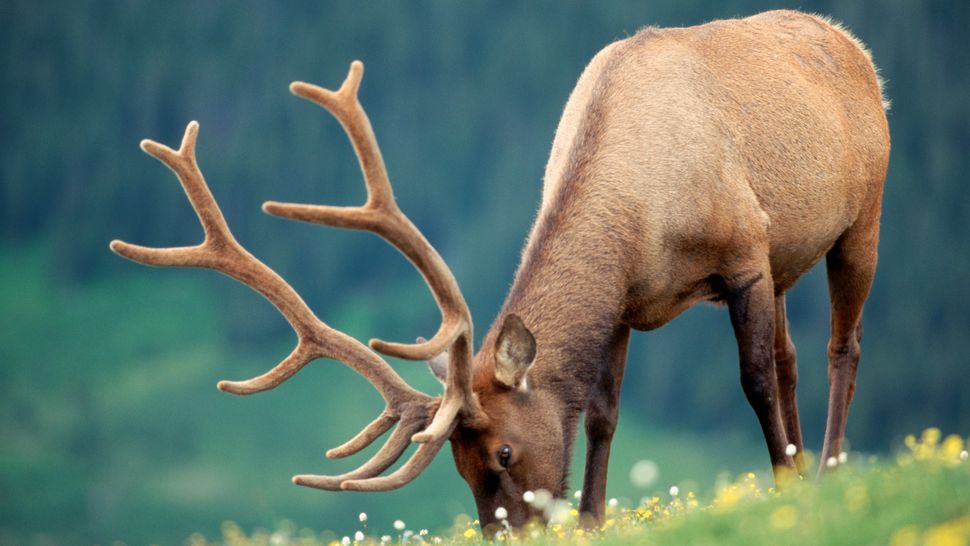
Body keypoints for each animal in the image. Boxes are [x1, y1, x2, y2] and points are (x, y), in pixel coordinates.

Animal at [111, 9, 889, 533]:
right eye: (458, 464)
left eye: (505, 453)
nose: (507, 534)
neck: (643, 217)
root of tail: (852, 42)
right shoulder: (627, 302)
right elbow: (601, 414)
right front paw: (593, 521)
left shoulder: (744, 253)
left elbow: (750, 379)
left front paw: (782, 483)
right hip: (789, 261)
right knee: (791, 357)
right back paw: (813, 469)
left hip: (863, 214)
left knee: (839, 347)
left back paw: (825, 468)